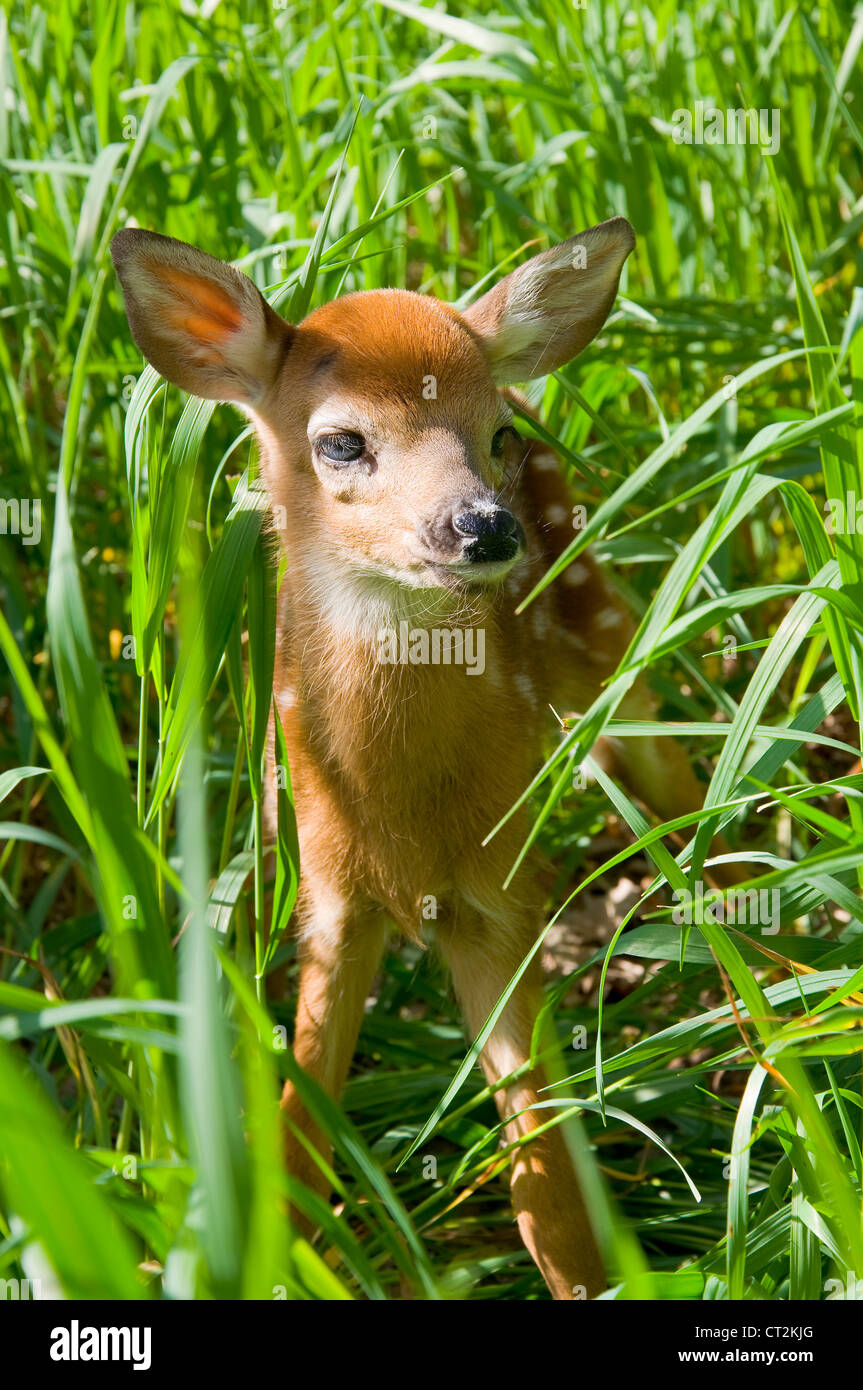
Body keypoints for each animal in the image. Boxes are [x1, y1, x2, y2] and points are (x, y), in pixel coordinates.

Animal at [112, 217, 739, 1300]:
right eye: (340, 440)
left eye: (495, 436)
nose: (483, 526)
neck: (403, 813)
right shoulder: (327, 890)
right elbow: (301, 1133)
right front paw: (278, 1252)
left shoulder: (499, 893)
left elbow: (546, 1191)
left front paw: (587, 1272)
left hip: (606, 640)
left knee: (683, 797)